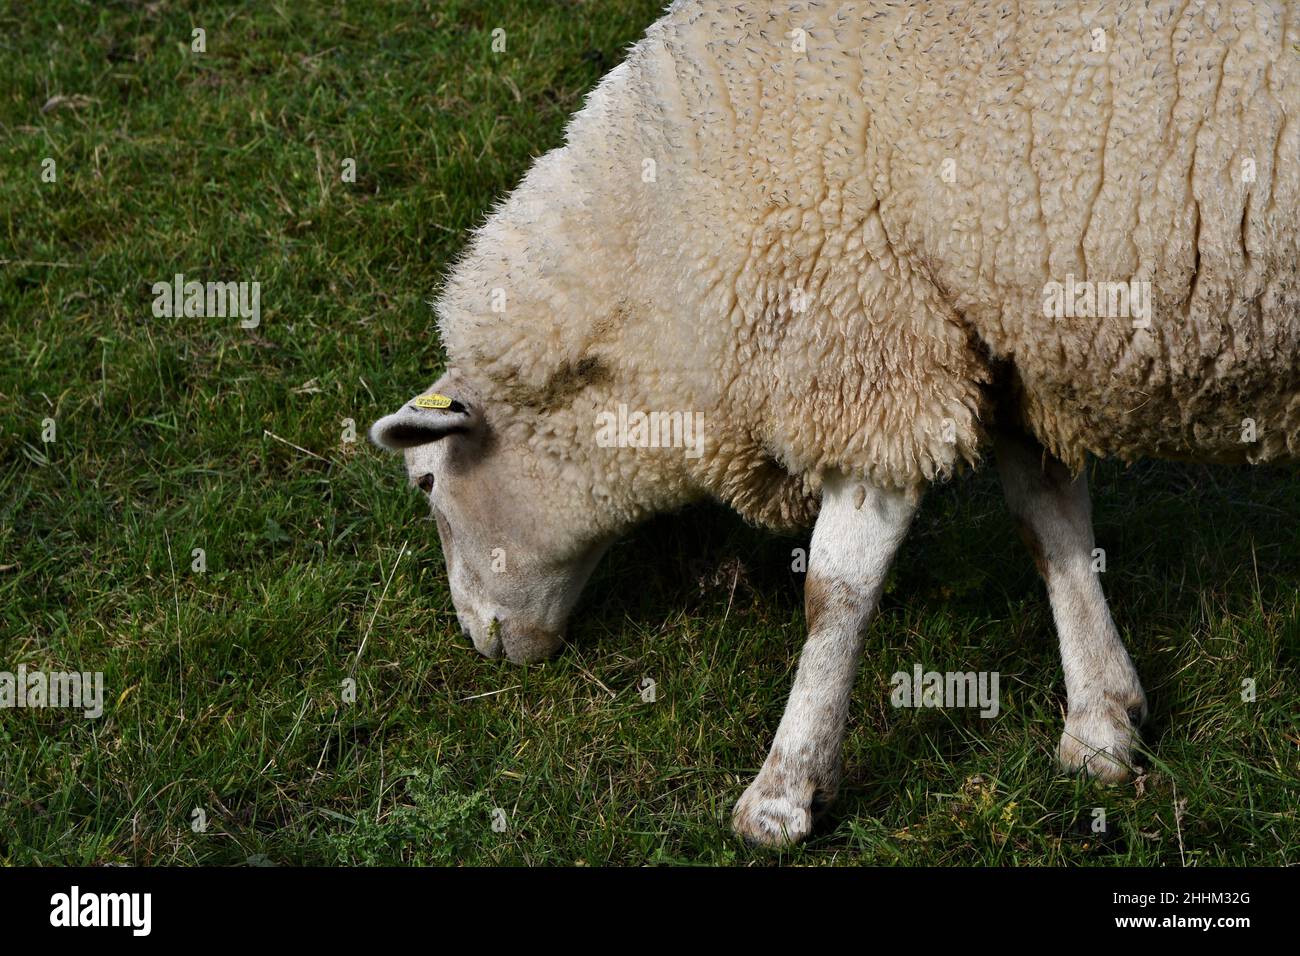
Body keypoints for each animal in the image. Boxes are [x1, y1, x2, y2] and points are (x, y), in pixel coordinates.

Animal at [371, 0, 1300, 847]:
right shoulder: (992, 339)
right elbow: (1051, 529)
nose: (481, 642)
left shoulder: (863, 351)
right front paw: (1103, 723)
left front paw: (783, 796)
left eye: (427, 482)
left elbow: (834, 592)